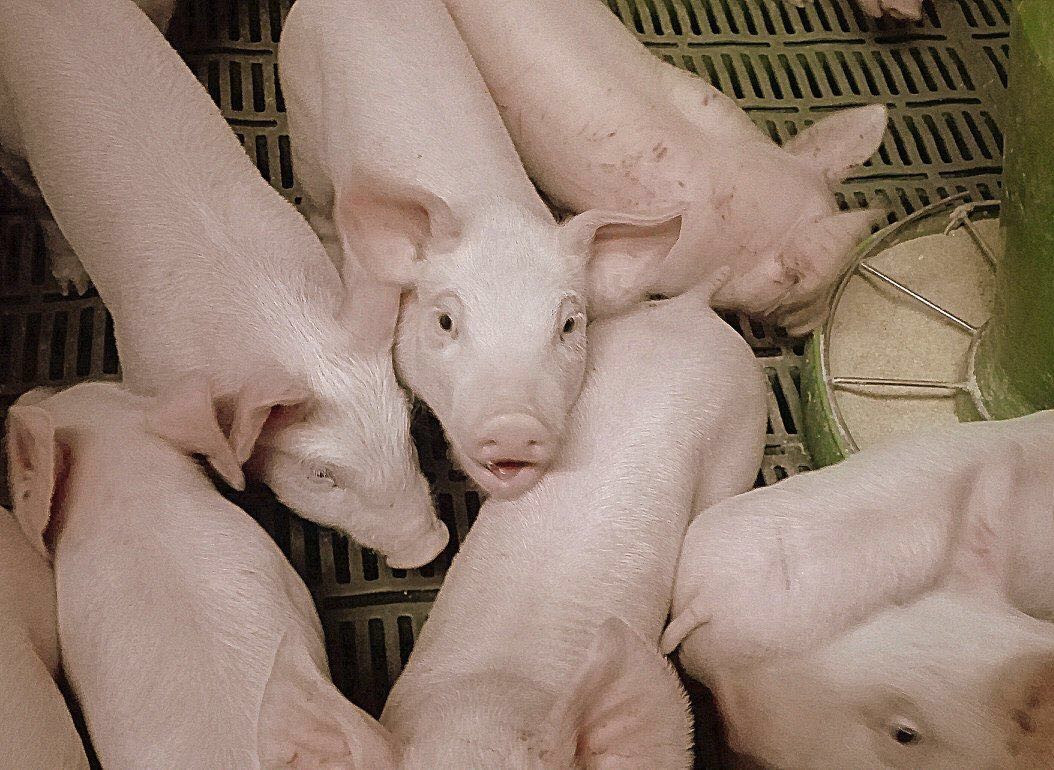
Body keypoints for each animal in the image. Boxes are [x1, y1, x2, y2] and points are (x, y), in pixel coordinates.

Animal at [0, 0, 447, 567]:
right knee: (32, 197)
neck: (281, 327)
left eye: (407, 430)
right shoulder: (146, 369)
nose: (430, 547)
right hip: (14, 144)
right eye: (321, 474)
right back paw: (72, 283)